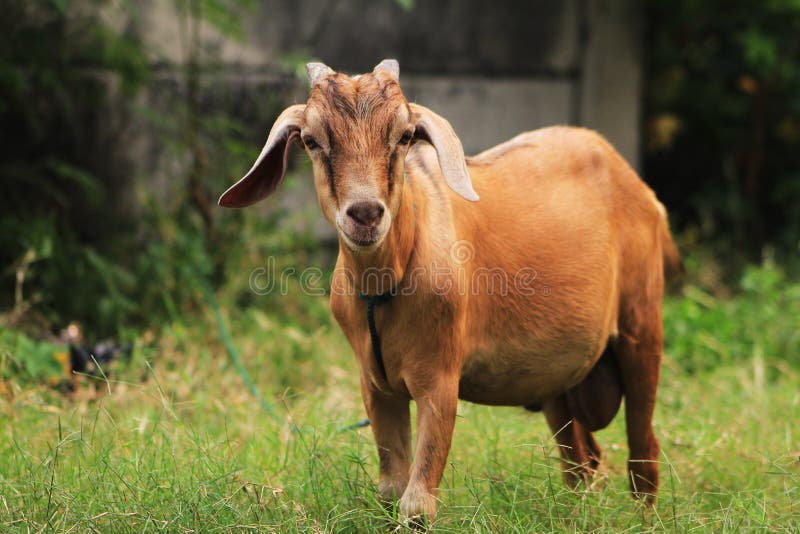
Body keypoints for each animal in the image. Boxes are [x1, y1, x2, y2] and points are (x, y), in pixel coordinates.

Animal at [219, 59, 682, 522]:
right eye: (312, 140)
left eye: (404, 136)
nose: (365, 214)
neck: (385, 286)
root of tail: (645, 194)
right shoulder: (375, 384)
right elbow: (391, 488)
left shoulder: (439, 377)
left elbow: (417, 501)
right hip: (559, 380)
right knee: (582, 462)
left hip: (642, 328)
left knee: (643, 449)